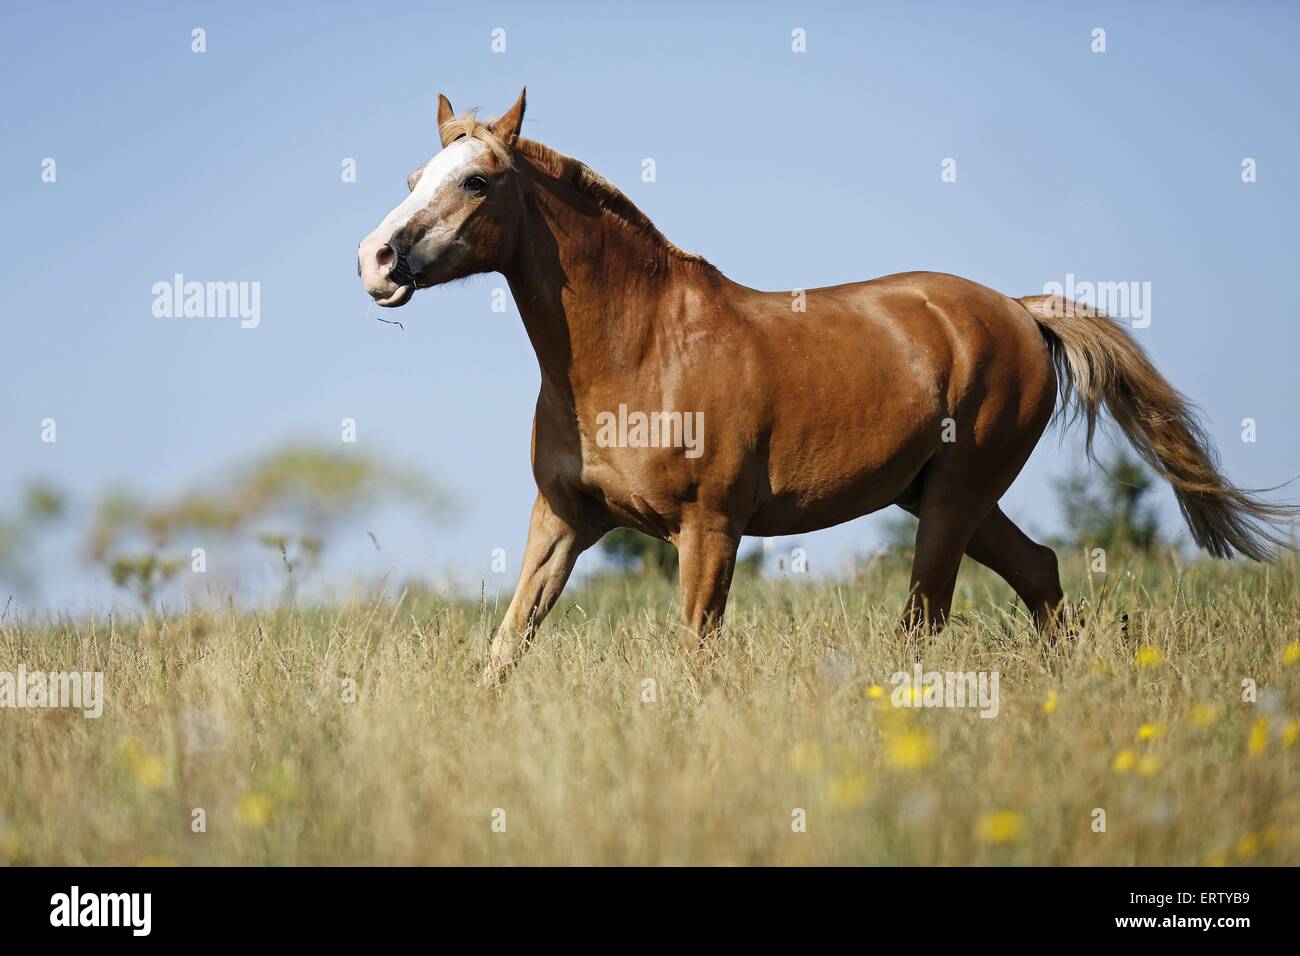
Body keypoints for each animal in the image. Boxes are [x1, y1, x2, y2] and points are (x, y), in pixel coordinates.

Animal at [358, 89, 1300, 686]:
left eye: (476, 180)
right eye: (412, 182)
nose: (376, 260)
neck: (638, 351)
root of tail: (1022, 313)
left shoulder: (710, 530)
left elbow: (695, 656)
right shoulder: (563, 522)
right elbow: (504, 649)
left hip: (953, 499)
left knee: (928, 617)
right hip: (942, 496)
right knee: (1037, 570)